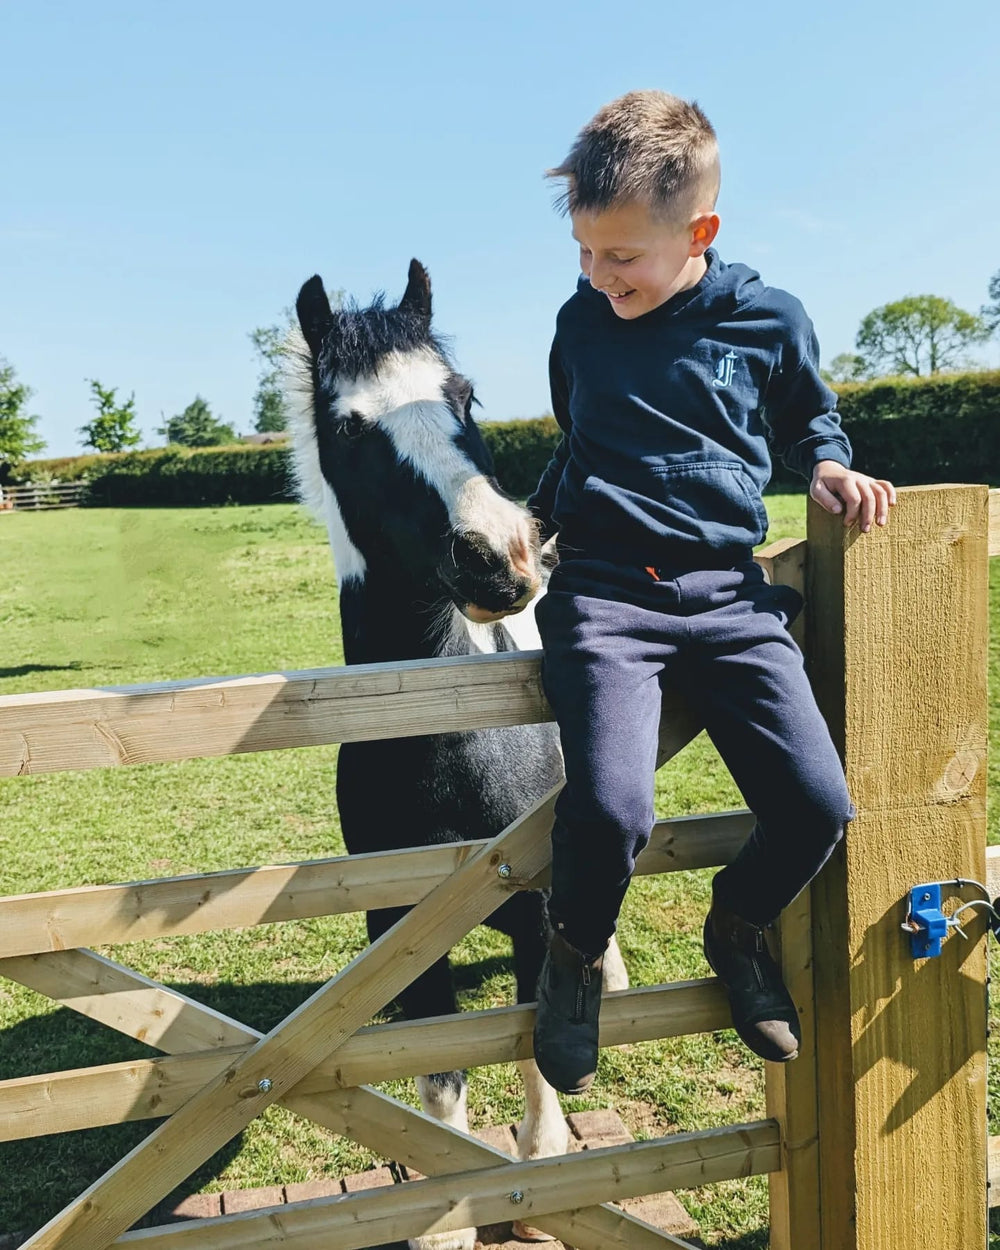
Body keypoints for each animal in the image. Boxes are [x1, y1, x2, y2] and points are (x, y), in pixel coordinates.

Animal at [285, 259, 627, 1250]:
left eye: (465, 396)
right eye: (348, 426)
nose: (499, 557)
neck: (451, 742)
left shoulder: (542, 898)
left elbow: (534, 1033)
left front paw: (542, 1172)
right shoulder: (397, 923)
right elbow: (437, 1064)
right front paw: (445, 1219)